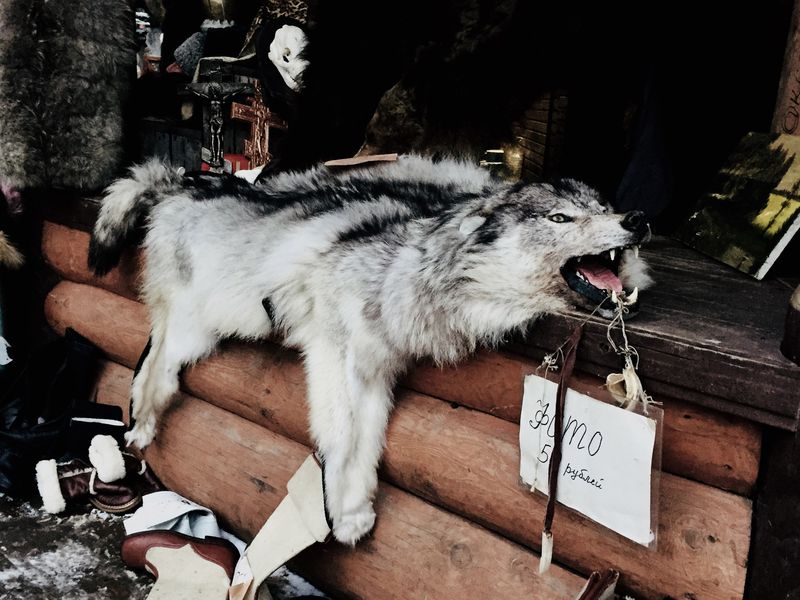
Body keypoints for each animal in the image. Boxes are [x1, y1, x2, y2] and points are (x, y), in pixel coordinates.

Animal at [88, 155, 652, 544]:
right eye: (559, 219)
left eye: (603, 208)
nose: (638, 219)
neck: (425, 256)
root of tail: (187, 179)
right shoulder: (338, 353)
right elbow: (342, 436)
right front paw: (344, 511)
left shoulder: (379, 367)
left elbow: (370, 438)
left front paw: (352, 509)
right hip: (196, 328)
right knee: (151, 370)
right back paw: (140, 430)